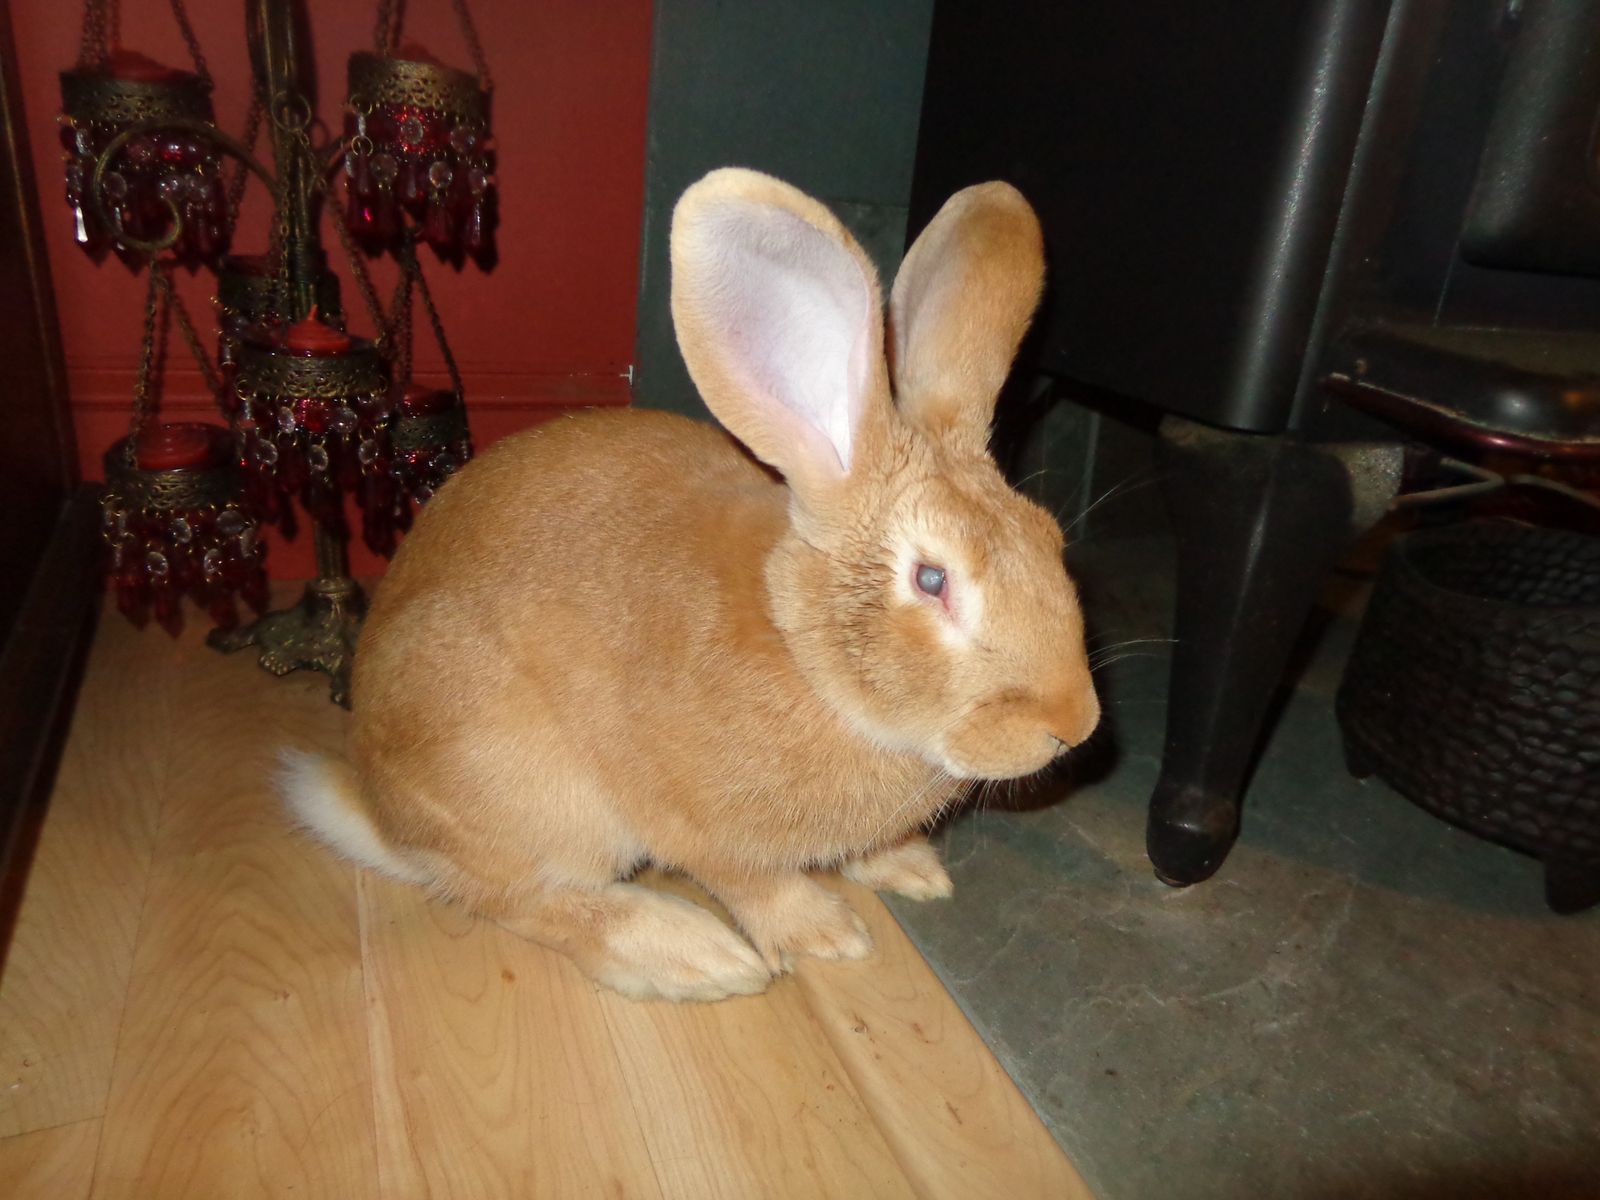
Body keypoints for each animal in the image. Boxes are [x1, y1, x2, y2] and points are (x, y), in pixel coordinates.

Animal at [279, 167, 1100, 1002]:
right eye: (932, 580)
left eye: (1051, 540)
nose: (1076, 724)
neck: (805, 657)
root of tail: (383, 814)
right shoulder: (695, 824)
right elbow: (750, 881)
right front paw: (825, 931)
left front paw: (908, 868)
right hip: (522, 783)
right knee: (523, 899)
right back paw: (689, 953)